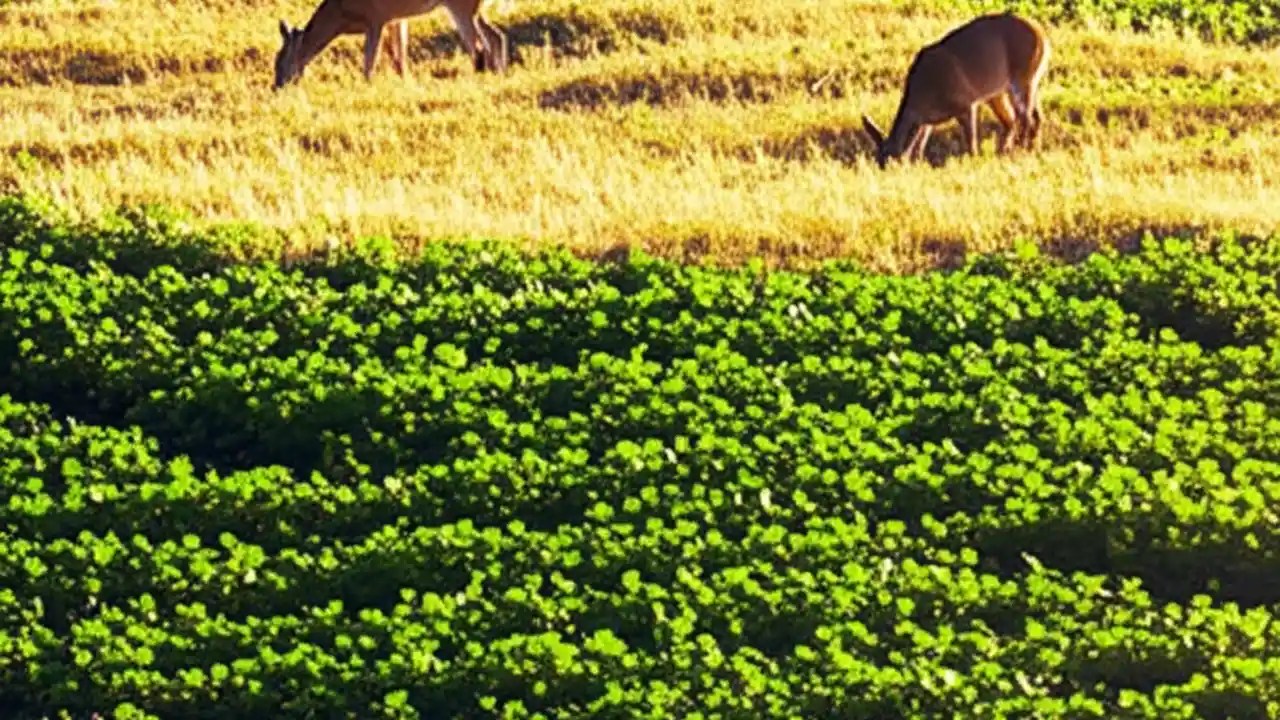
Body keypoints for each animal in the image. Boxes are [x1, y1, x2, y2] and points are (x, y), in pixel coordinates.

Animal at [273, 0, 510, 90]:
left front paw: (367, 85)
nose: (277, 86)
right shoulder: (394, 19)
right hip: (474, 9)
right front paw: (405, 81)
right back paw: (499, 74)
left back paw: (480, 76)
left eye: (280, 63)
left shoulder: (376, 19)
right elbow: (398, 55)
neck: (341, 15)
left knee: (478, 47)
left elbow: (370, 58)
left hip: (460, 7)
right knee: (496, 36)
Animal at [861, 12, 1051, 168]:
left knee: (1025, 118)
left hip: (1021, 80)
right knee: (1026, 118)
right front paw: (919, 164)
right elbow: (919, 146)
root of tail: (1043, 36)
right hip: (1008, 89)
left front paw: (974, 161)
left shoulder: (966, 103)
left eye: (890, 162)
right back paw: (1018, 151)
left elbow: (971, 142)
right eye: (877, 161)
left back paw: (1021, 151)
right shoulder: (926, 120)